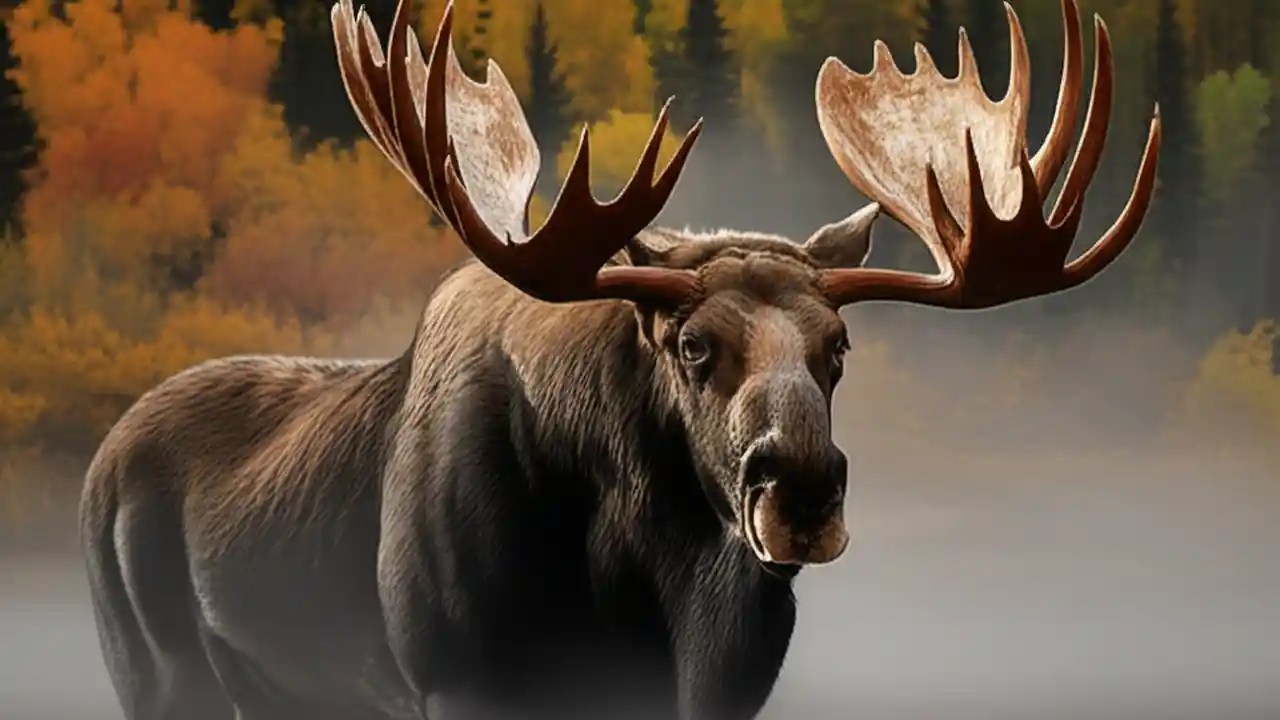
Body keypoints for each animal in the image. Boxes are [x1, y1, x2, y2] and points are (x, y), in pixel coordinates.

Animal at [79, 0, 1160, 718]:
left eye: (839, 346)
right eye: (692, 345)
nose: (802, 489)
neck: (649, 581)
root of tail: (104, 453)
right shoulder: (459, 679)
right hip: (152, 664)